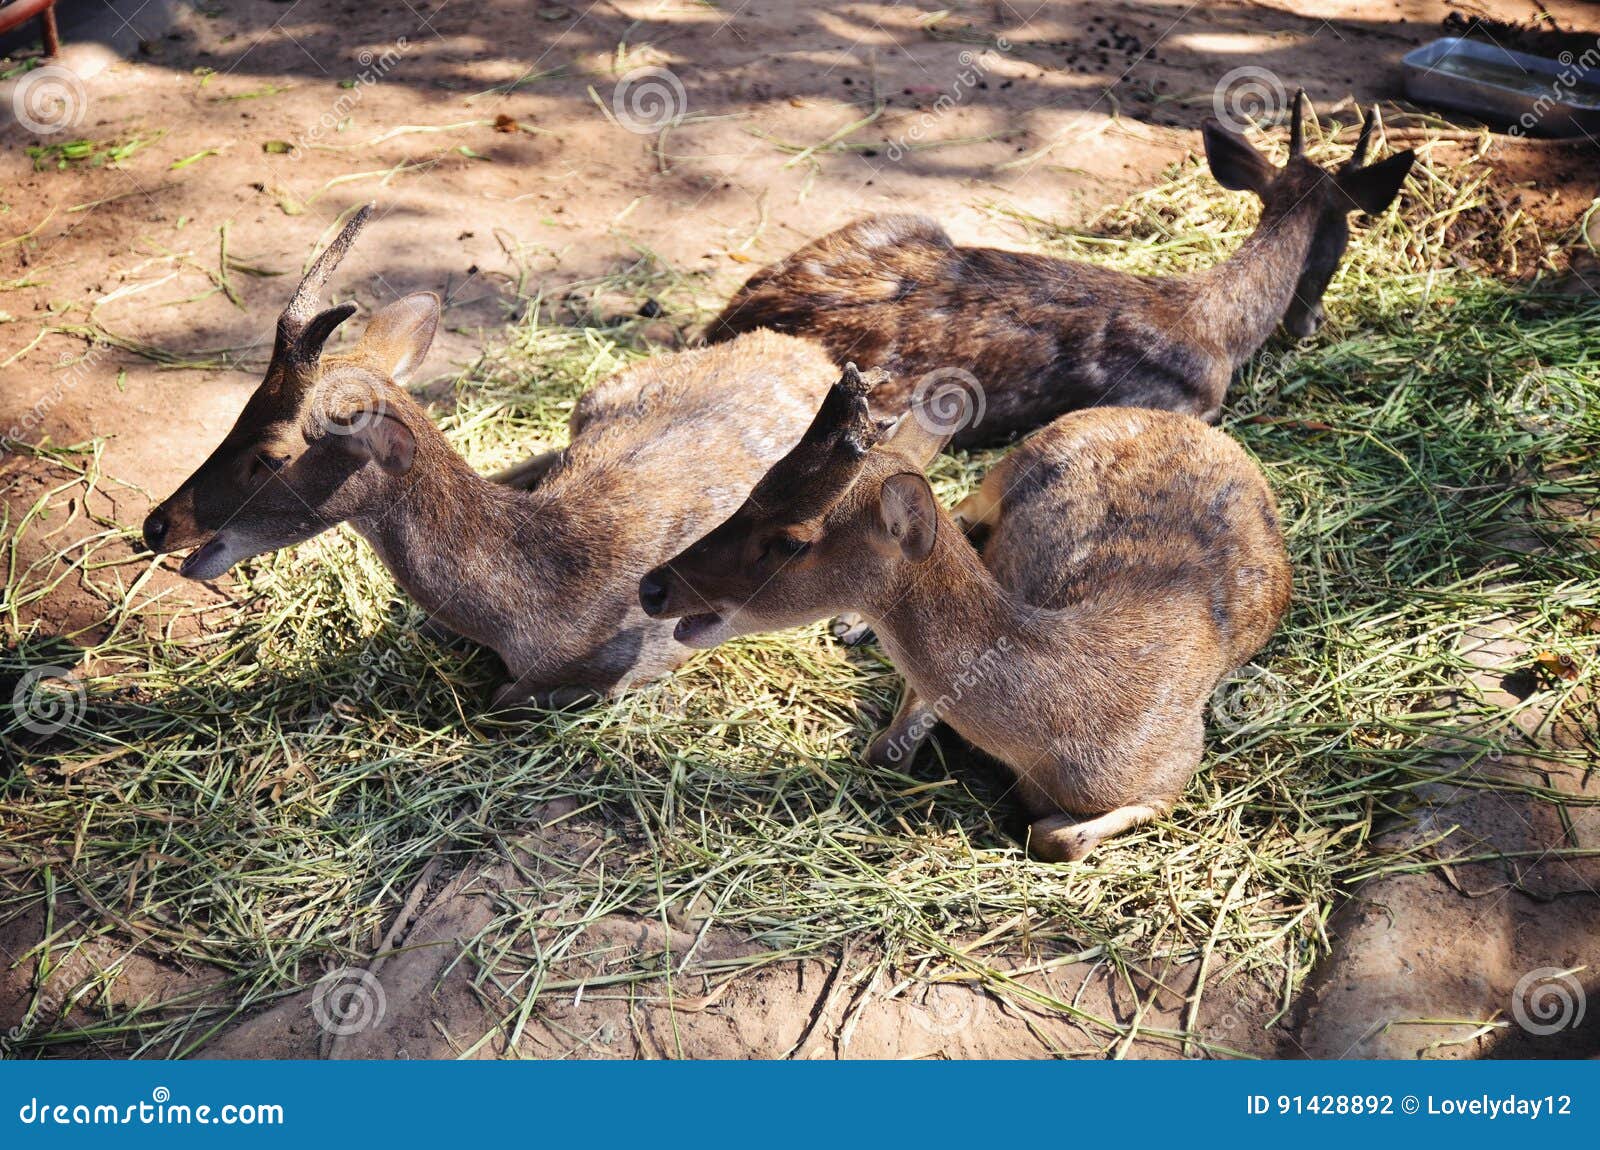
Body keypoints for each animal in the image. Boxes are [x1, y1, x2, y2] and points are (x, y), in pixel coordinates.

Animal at [142, 204, 841, 708]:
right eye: (240, 411)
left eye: (269, 455)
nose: (156, 525)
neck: (526, 611)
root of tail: (811, 352)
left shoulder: (629, 666)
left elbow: (503, 696)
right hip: (597, 393)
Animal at [637, 365, 1292, 860]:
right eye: (756, 484)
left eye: (792, 541)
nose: (652, 588)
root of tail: (1183, 422)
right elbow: (887, 747)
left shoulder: (1178, 767)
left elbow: (1061, 839)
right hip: (1003, 471)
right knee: (958, 507)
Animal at [704, 93, 1415, 449]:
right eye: (1345, 237)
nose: (1310, 323)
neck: (1220, 329)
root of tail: (727, 319)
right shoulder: (1175, 403)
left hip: (899, 221)